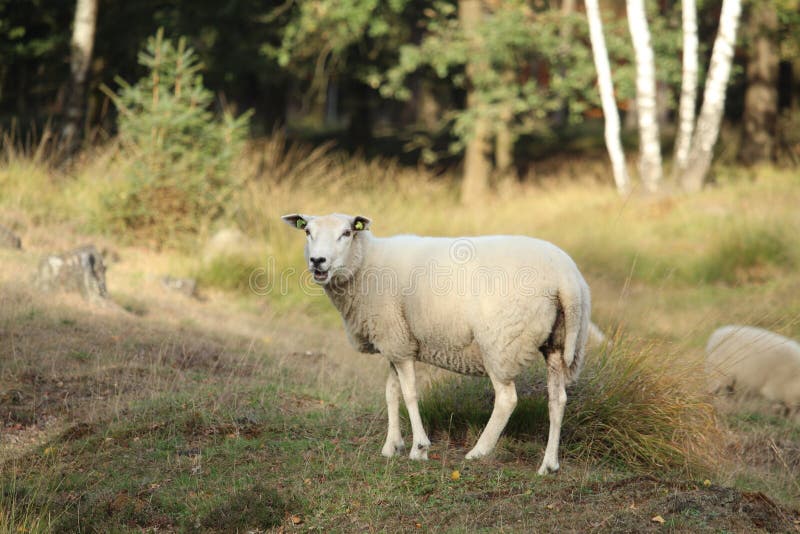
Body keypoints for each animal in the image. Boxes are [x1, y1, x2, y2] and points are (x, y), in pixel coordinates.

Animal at [282, 212, 591, 474]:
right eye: (307, 231)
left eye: (346, 233)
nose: (318, 261)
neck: (366, 264)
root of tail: (566, 280)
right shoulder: (396, 341)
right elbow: (391, 393)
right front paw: (391, 445)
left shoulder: (397, 340)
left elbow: (409, 394)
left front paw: (419, 447)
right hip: (558, 342)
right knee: (557, 399)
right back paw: (548, 465)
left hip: (500, 342)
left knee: (507, 399)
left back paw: (479, 451)